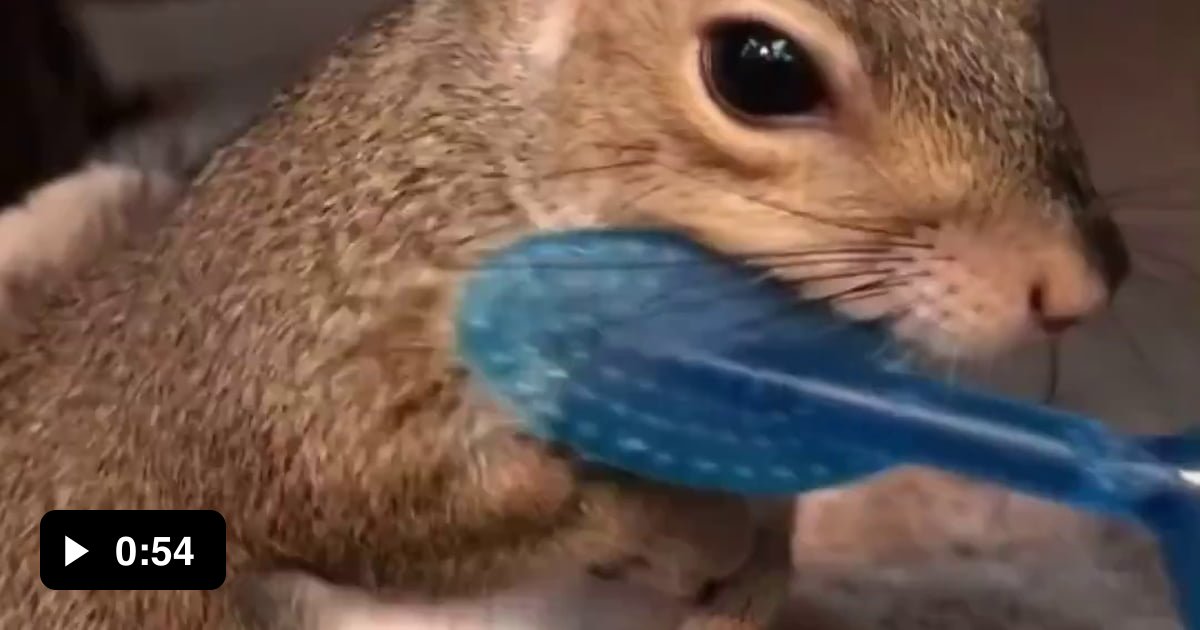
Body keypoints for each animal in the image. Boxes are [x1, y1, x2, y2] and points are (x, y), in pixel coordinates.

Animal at [0, 0, 1133, 628]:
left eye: (1022, 11)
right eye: (759, 67)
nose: (1080, 284)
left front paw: (745, 586)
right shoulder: (307, 340)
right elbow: (366, 489)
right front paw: (686, 531)